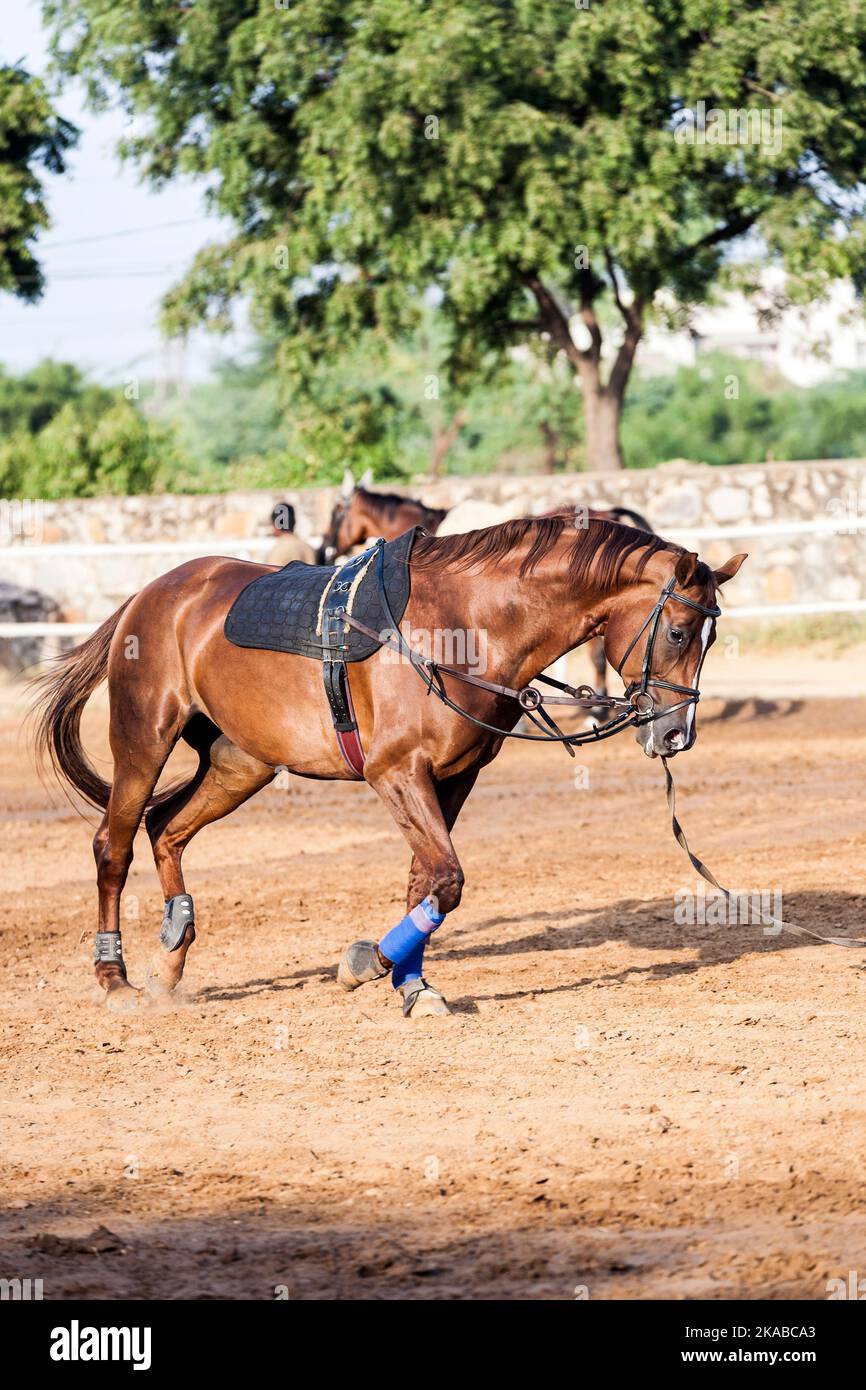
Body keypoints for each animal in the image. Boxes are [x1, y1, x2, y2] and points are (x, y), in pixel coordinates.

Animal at [32, 514, 745, 1017]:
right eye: (679, 632)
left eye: (711, 638)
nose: (676, 734)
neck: (466, 625)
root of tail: (149, 594)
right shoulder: (396, 773)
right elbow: (447, 880)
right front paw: (364, 964)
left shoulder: (453, 779)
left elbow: (425, 883)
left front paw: (413, 985)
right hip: (144, 739)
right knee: (114, 845)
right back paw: (114, 979)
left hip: (242, 763)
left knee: (168, 830)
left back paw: (172, 959)